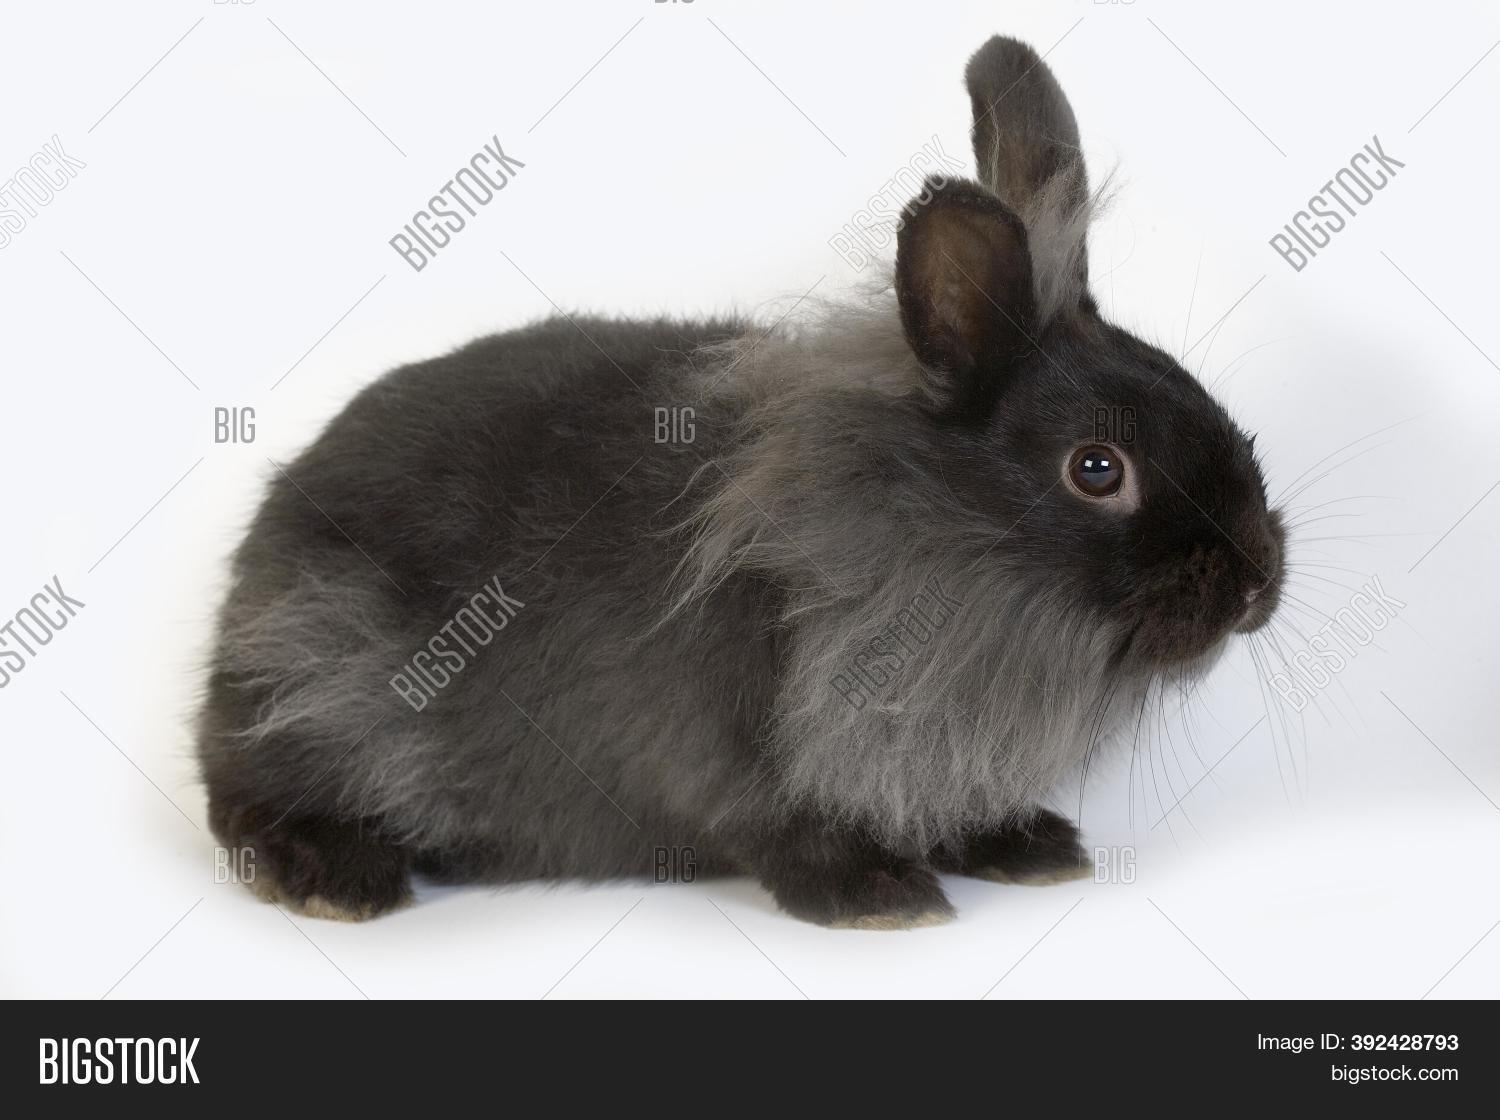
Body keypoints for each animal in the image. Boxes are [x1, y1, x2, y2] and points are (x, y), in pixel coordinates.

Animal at [197, 35, 1284, 928]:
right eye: (1097, 469)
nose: (1257, 582)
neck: (924, 539)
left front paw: (1031, 847)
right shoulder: (740, 755)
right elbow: (785, 831)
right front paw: (880, 898)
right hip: (320, 665)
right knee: (244, 793)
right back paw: (335, 877)